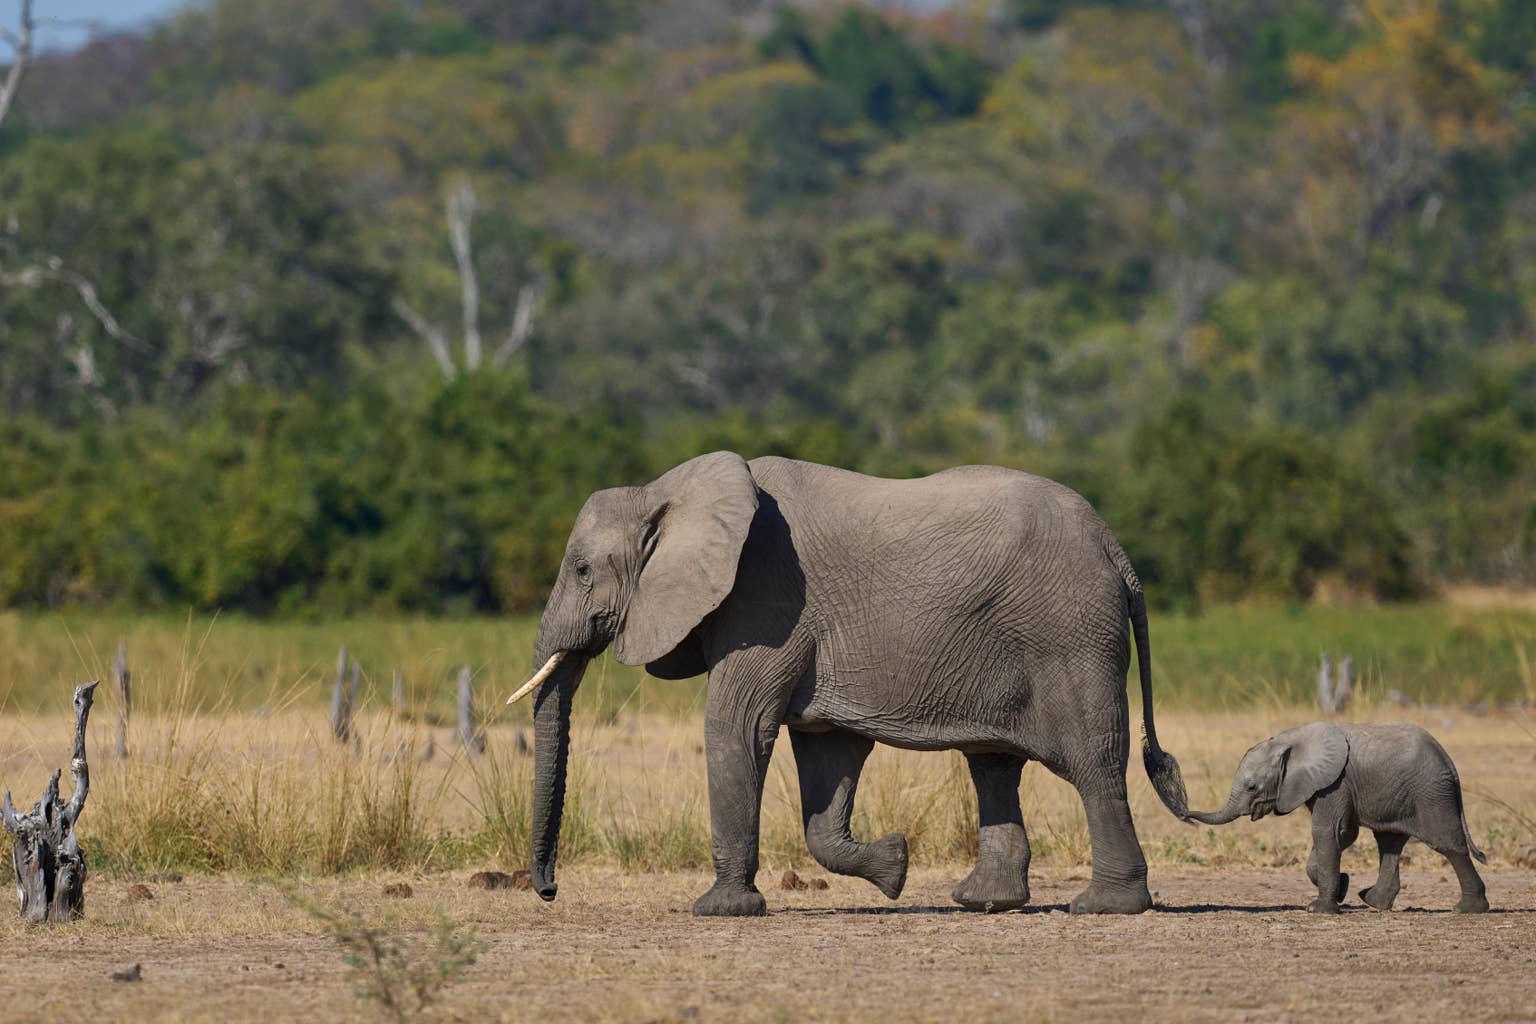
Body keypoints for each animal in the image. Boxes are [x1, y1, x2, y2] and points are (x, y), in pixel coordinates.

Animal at [506, 452, 1190, 917]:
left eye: (582, 569)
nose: (549, 889)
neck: (666, 491)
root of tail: (1117, 550)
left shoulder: (766, 602)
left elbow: (737, 728)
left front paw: (720, 911)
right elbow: (825, 753)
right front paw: (895, 867)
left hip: (1070, 636)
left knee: (1091, 762)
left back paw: (1103, 906)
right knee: (993, 763)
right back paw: (982, 901)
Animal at [1186, 722, 1489, 914]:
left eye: (1251, 787)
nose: (1187, 814)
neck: (1289, 741)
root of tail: (1449, 762)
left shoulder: (1335, 783)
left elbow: (1326, 831)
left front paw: (1317, 909)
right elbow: (1343, 834)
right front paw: (1341, 887)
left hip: (1431, 793)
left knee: (1446, 843)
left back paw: (1467, 909)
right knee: (1389, 842)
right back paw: (1372, 901)